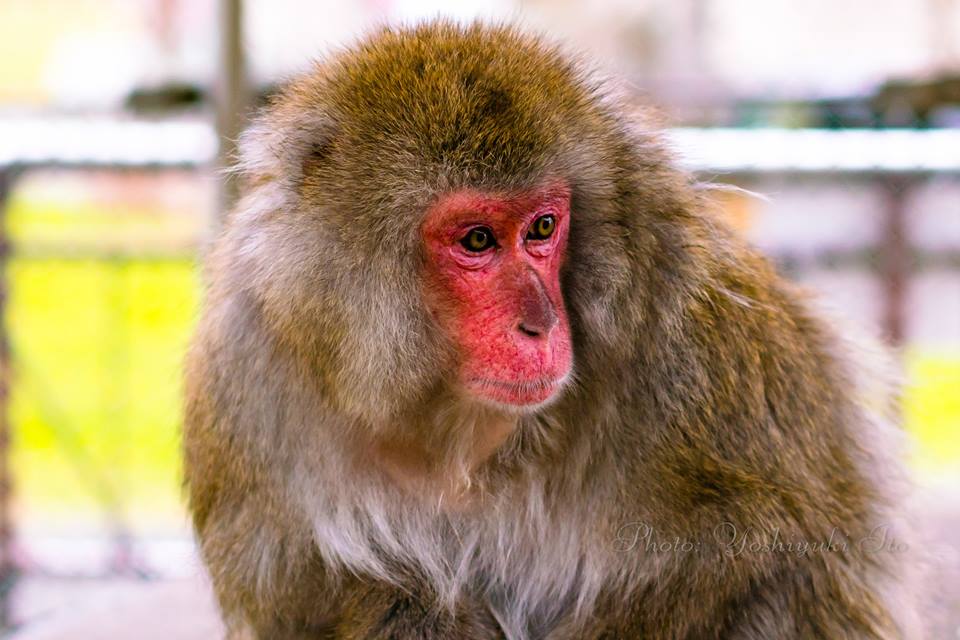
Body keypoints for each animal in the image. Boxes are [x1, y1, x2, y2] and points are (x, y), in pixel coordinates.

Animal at [183, 20, 922, 640]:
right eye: (477, 240)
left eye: (542, 228)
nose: (540, 324)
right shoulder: (248, 369)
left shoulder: (688, 330)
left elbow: (762, 552)